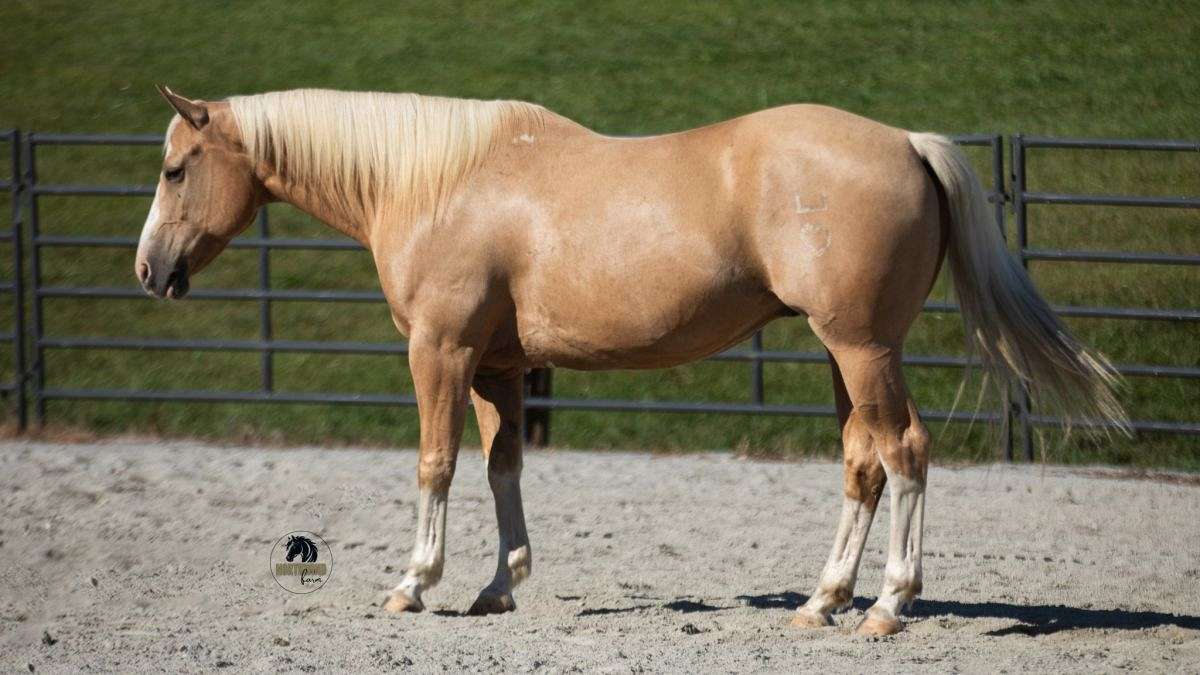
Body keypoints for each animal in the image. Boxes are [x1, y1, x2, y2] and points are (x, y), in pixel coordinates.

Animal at [136, 86, 1126, 635]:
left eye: (178, 168)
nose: (149, 269)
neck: (439, 181)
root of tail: (906, 143)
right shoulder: (499, 367)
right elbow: (502, 468)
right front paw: (499, 585)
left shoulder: (441, 351)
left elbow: (434, 464)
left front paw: (414, 583)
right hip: (844, 354)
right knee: (864, 461)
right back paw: (823, 599)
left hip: (862, 347)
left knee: (906, 451)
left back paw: (887, 605)